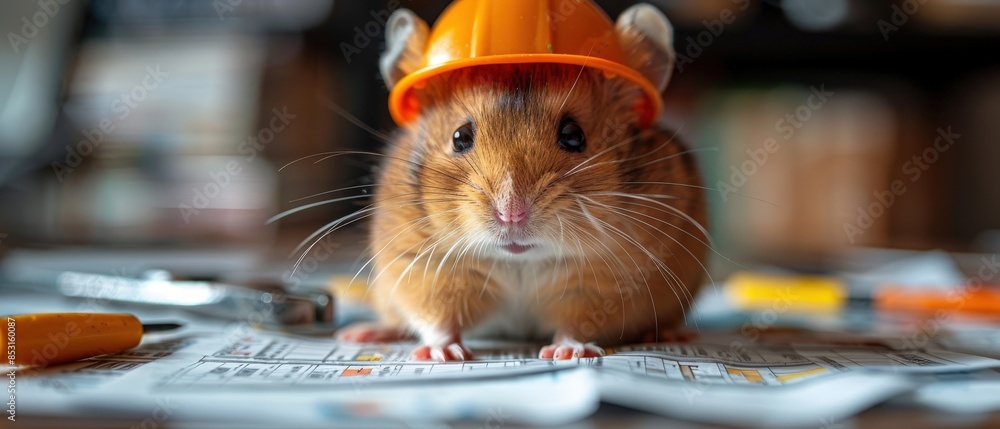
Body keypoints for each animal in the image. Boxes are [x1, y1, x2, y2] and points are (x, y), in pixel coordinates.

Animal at [337, 4, 709, 361]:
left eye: (574, 136)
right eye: (460, 137)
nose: (511, 214)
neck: (520, 261)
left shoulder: (607, 279)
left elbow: (578, 322)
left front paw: (566, 352)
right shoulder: (419, 263)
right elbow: (437, 317)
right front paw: (441, 355)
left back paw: (674, 335)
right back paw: (362, 333)